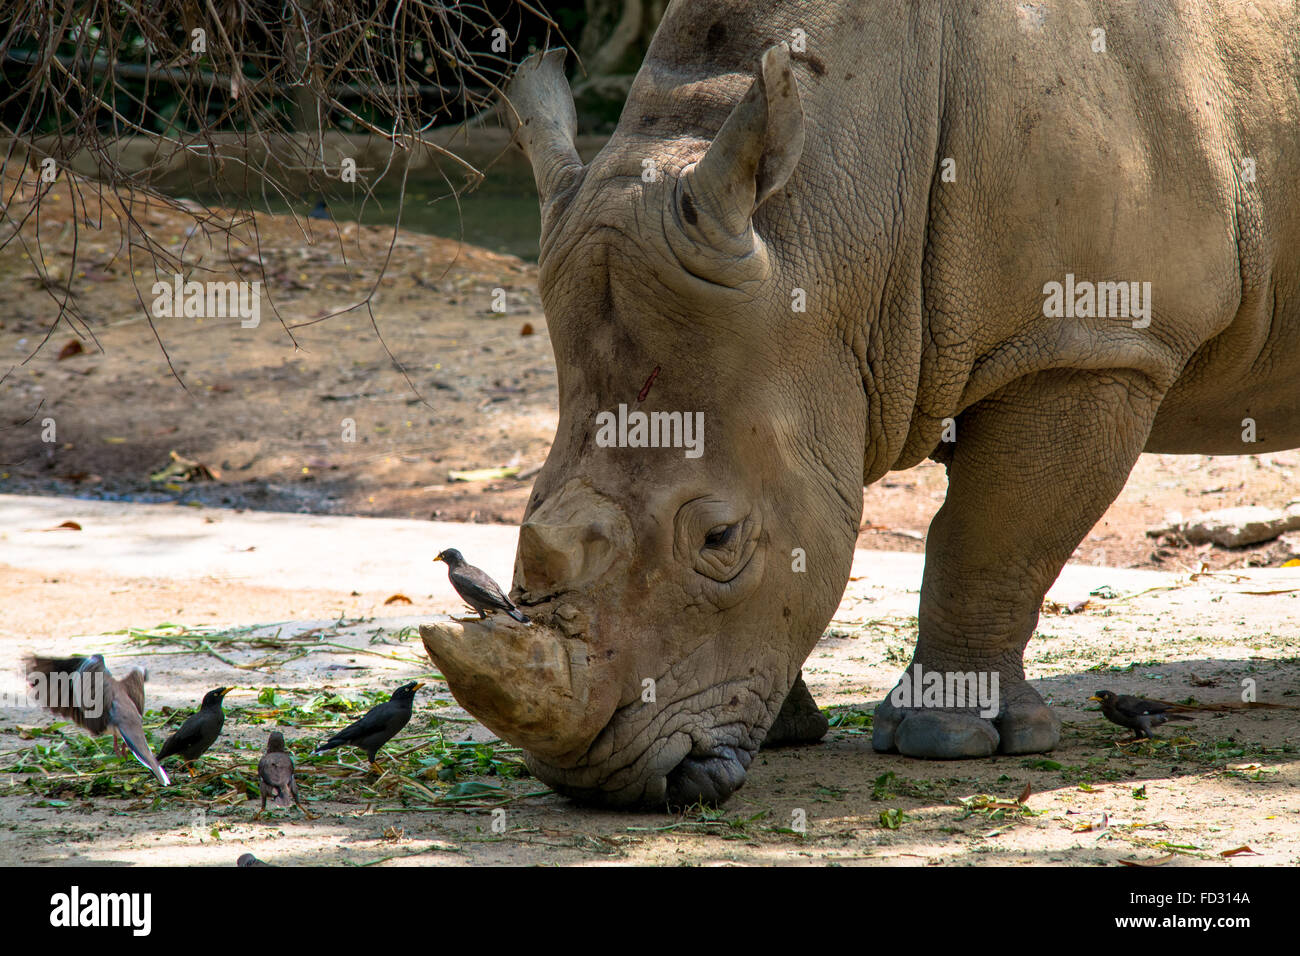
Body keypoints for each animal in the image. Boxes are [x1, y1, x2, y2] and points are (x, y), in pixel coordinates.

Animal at [421, 0, 1300, 808]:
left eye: (720, 539)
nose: (595, 780)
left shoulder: (1089, 345)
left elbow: (989, 537)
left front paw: (944, 740)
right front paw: (788, 730)